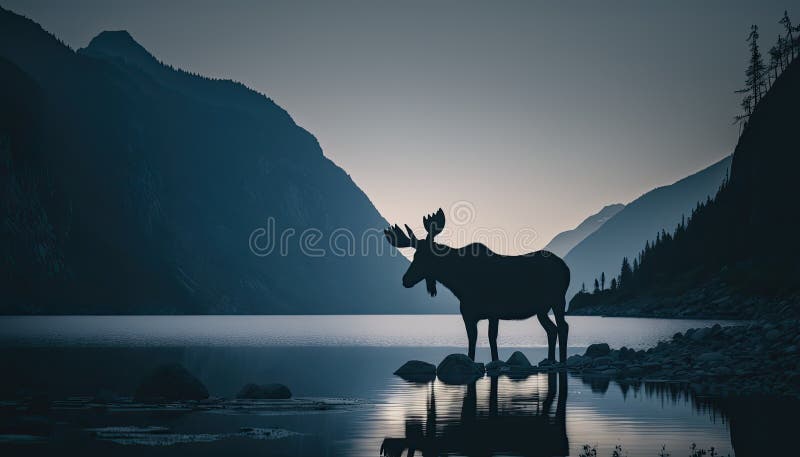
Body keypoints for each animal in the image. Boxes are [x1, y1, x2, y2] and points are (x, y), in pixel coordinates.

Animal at [384, 208, 570, 363]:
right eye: (415, 255)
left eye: (424, 257)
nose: (405, 279)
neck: (458, 284)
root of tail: (566, 269)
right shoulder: (468, 314)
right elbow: (472, 340)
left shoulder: (493, 312)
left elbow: (491, 338)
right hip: (541, 309)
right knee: (552, 330)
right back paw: (550, 360)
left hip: (558, 300)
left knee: (563, 327)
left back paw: (562, 360)